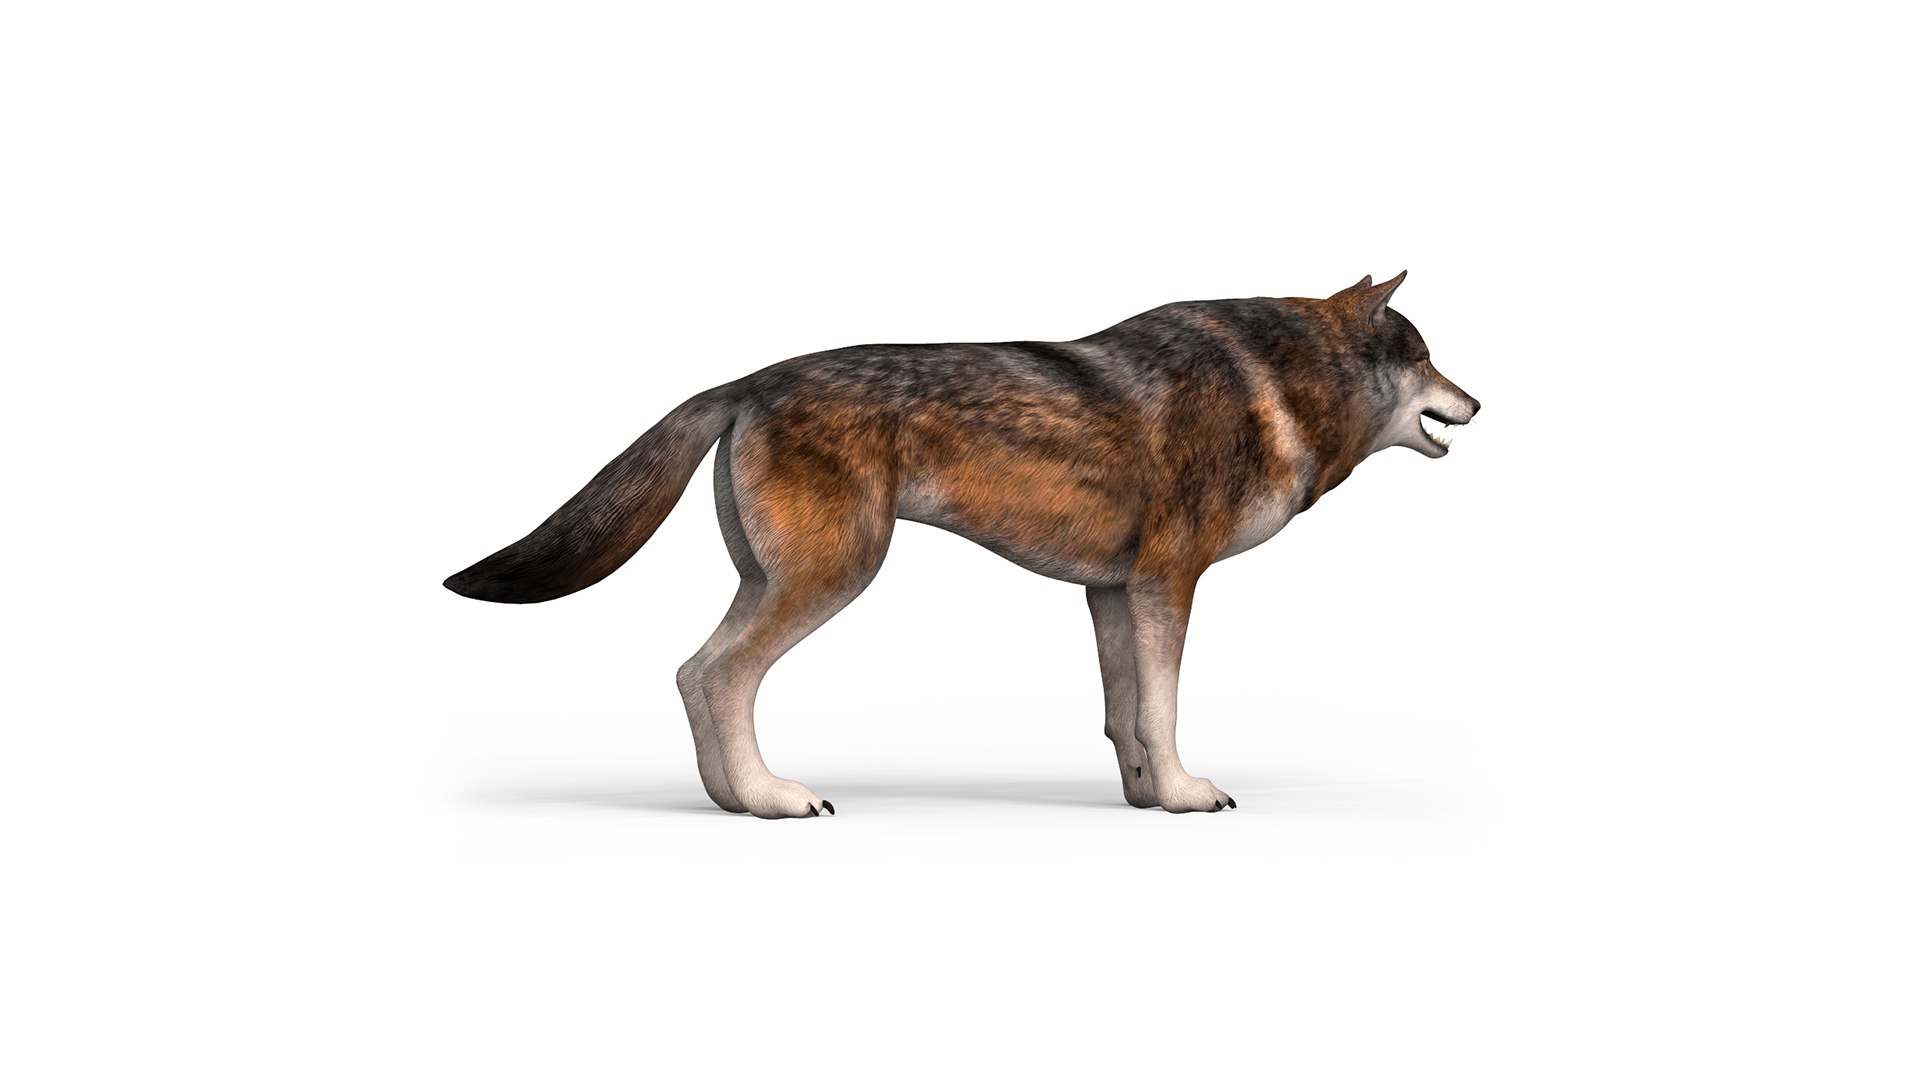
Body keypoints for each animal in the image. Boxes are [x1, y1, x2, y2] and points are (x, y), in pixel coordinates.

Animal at [446, 272, 1479, 817]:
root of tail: (745, 382)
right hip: (836, 576)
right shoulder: (1168, 587)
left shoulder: (1113, 593)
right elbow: (1164, 709)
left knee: (694, 673)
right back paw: (775, 800)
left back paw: (732, 798)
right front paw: (1189, 794)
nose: (1477, 403)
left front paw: (1147, 797)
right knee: (716, 673)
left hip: (781, 578)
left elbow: (1125, 715)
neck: (1284, 386)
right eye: (1427, 358)